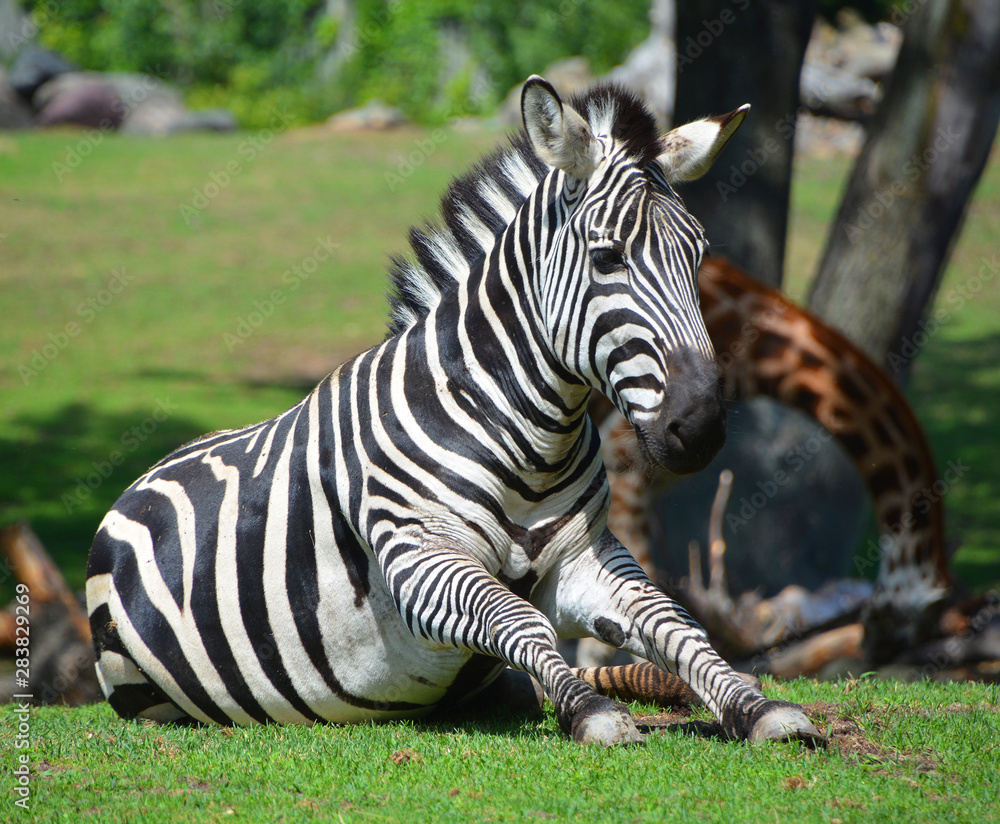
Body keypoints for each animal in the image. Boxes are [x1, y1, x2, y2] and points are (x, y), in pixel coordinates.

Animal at [86, 76, 821, 746]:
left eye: (698, 256)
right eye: (608, 257)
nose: (700, 429)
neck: (528, 441)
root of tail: (144, 475)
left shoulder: (584, 557)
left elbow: (673, 621)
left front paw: (757, 706)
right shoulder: (418, 555)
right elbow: (519, 620)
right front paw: (592, 712)